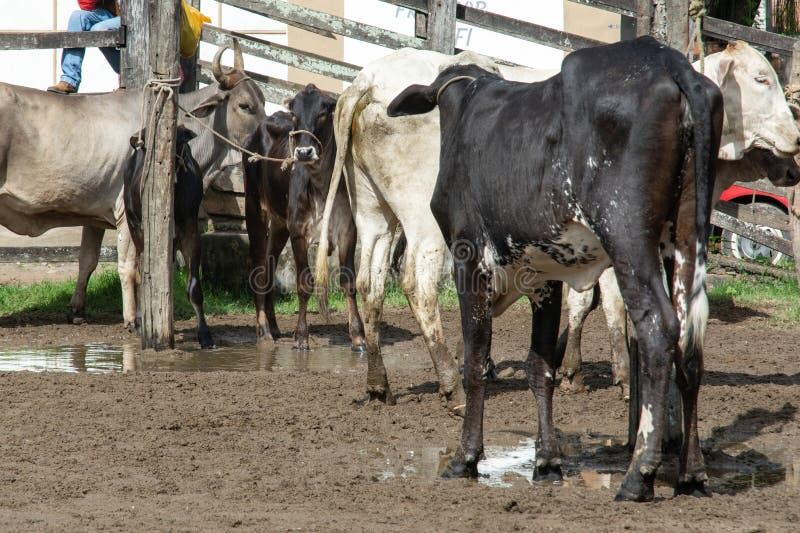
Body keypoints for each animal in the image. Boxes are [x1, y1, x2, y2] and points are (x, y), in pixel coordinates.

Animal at [123, 125, 213, 348]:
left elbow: (193, 287)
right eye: (147, 145)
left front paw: (205, 335)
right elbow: (147, 278)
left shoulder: (191, 232)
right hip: (134, 227)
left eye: (179, 142)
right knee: (140, 273)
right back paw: (141, 322)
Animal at [242, 85, 365, 350]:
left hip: (280, 224)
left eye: (323, 113)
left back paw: (274, 327)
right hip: (254, 209)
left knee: (270, 264)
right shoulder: (298, 230)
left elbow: (349, 281)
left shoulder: (348, 230)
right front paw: (301, 336)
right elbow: (304, 283)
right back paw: (263, 331)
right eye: (295, 115)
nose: (304, 152)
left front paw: (358, 336)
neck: (320, 184)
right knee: (257, 266)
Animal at [387, 36, 724, 501]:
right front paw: (546, 462)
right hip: (686, 238)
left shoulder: (468, 258)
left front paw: (466, 457)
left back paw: (639, 475)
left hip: (628, 236)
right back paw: (692, 473)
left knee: (658, 330)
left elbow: (475, 361)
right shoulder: (543, 275)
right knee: (691, 346)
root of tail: (669, 62)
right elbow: (539, 366)